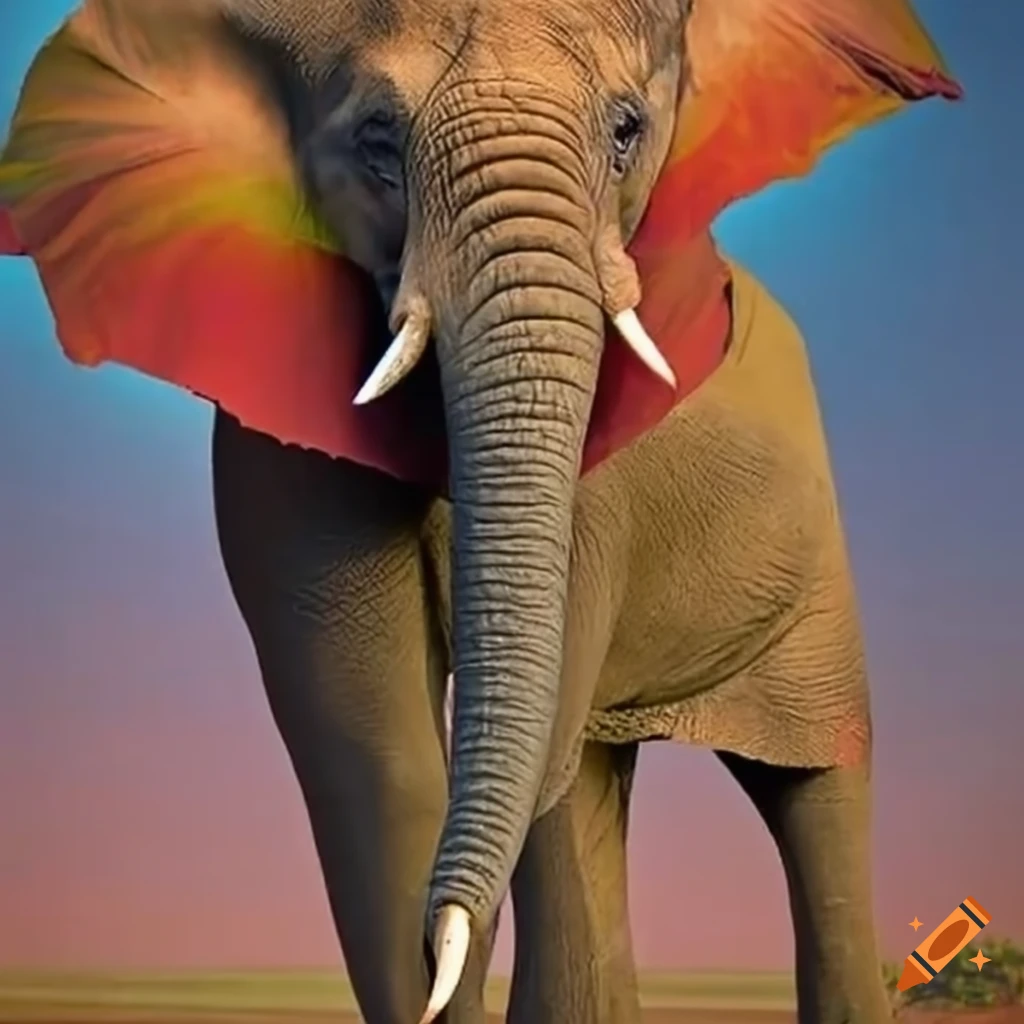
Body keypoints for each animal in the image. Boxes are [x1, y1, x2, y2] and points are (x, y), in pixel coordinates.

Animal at [0, 0, 961, 1022]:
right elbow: (379, 770)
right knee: (582, 788)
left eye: (627, 132)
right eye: (378, 142)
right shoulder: (278, 448)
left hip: (819, 596)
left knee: (814, 797)